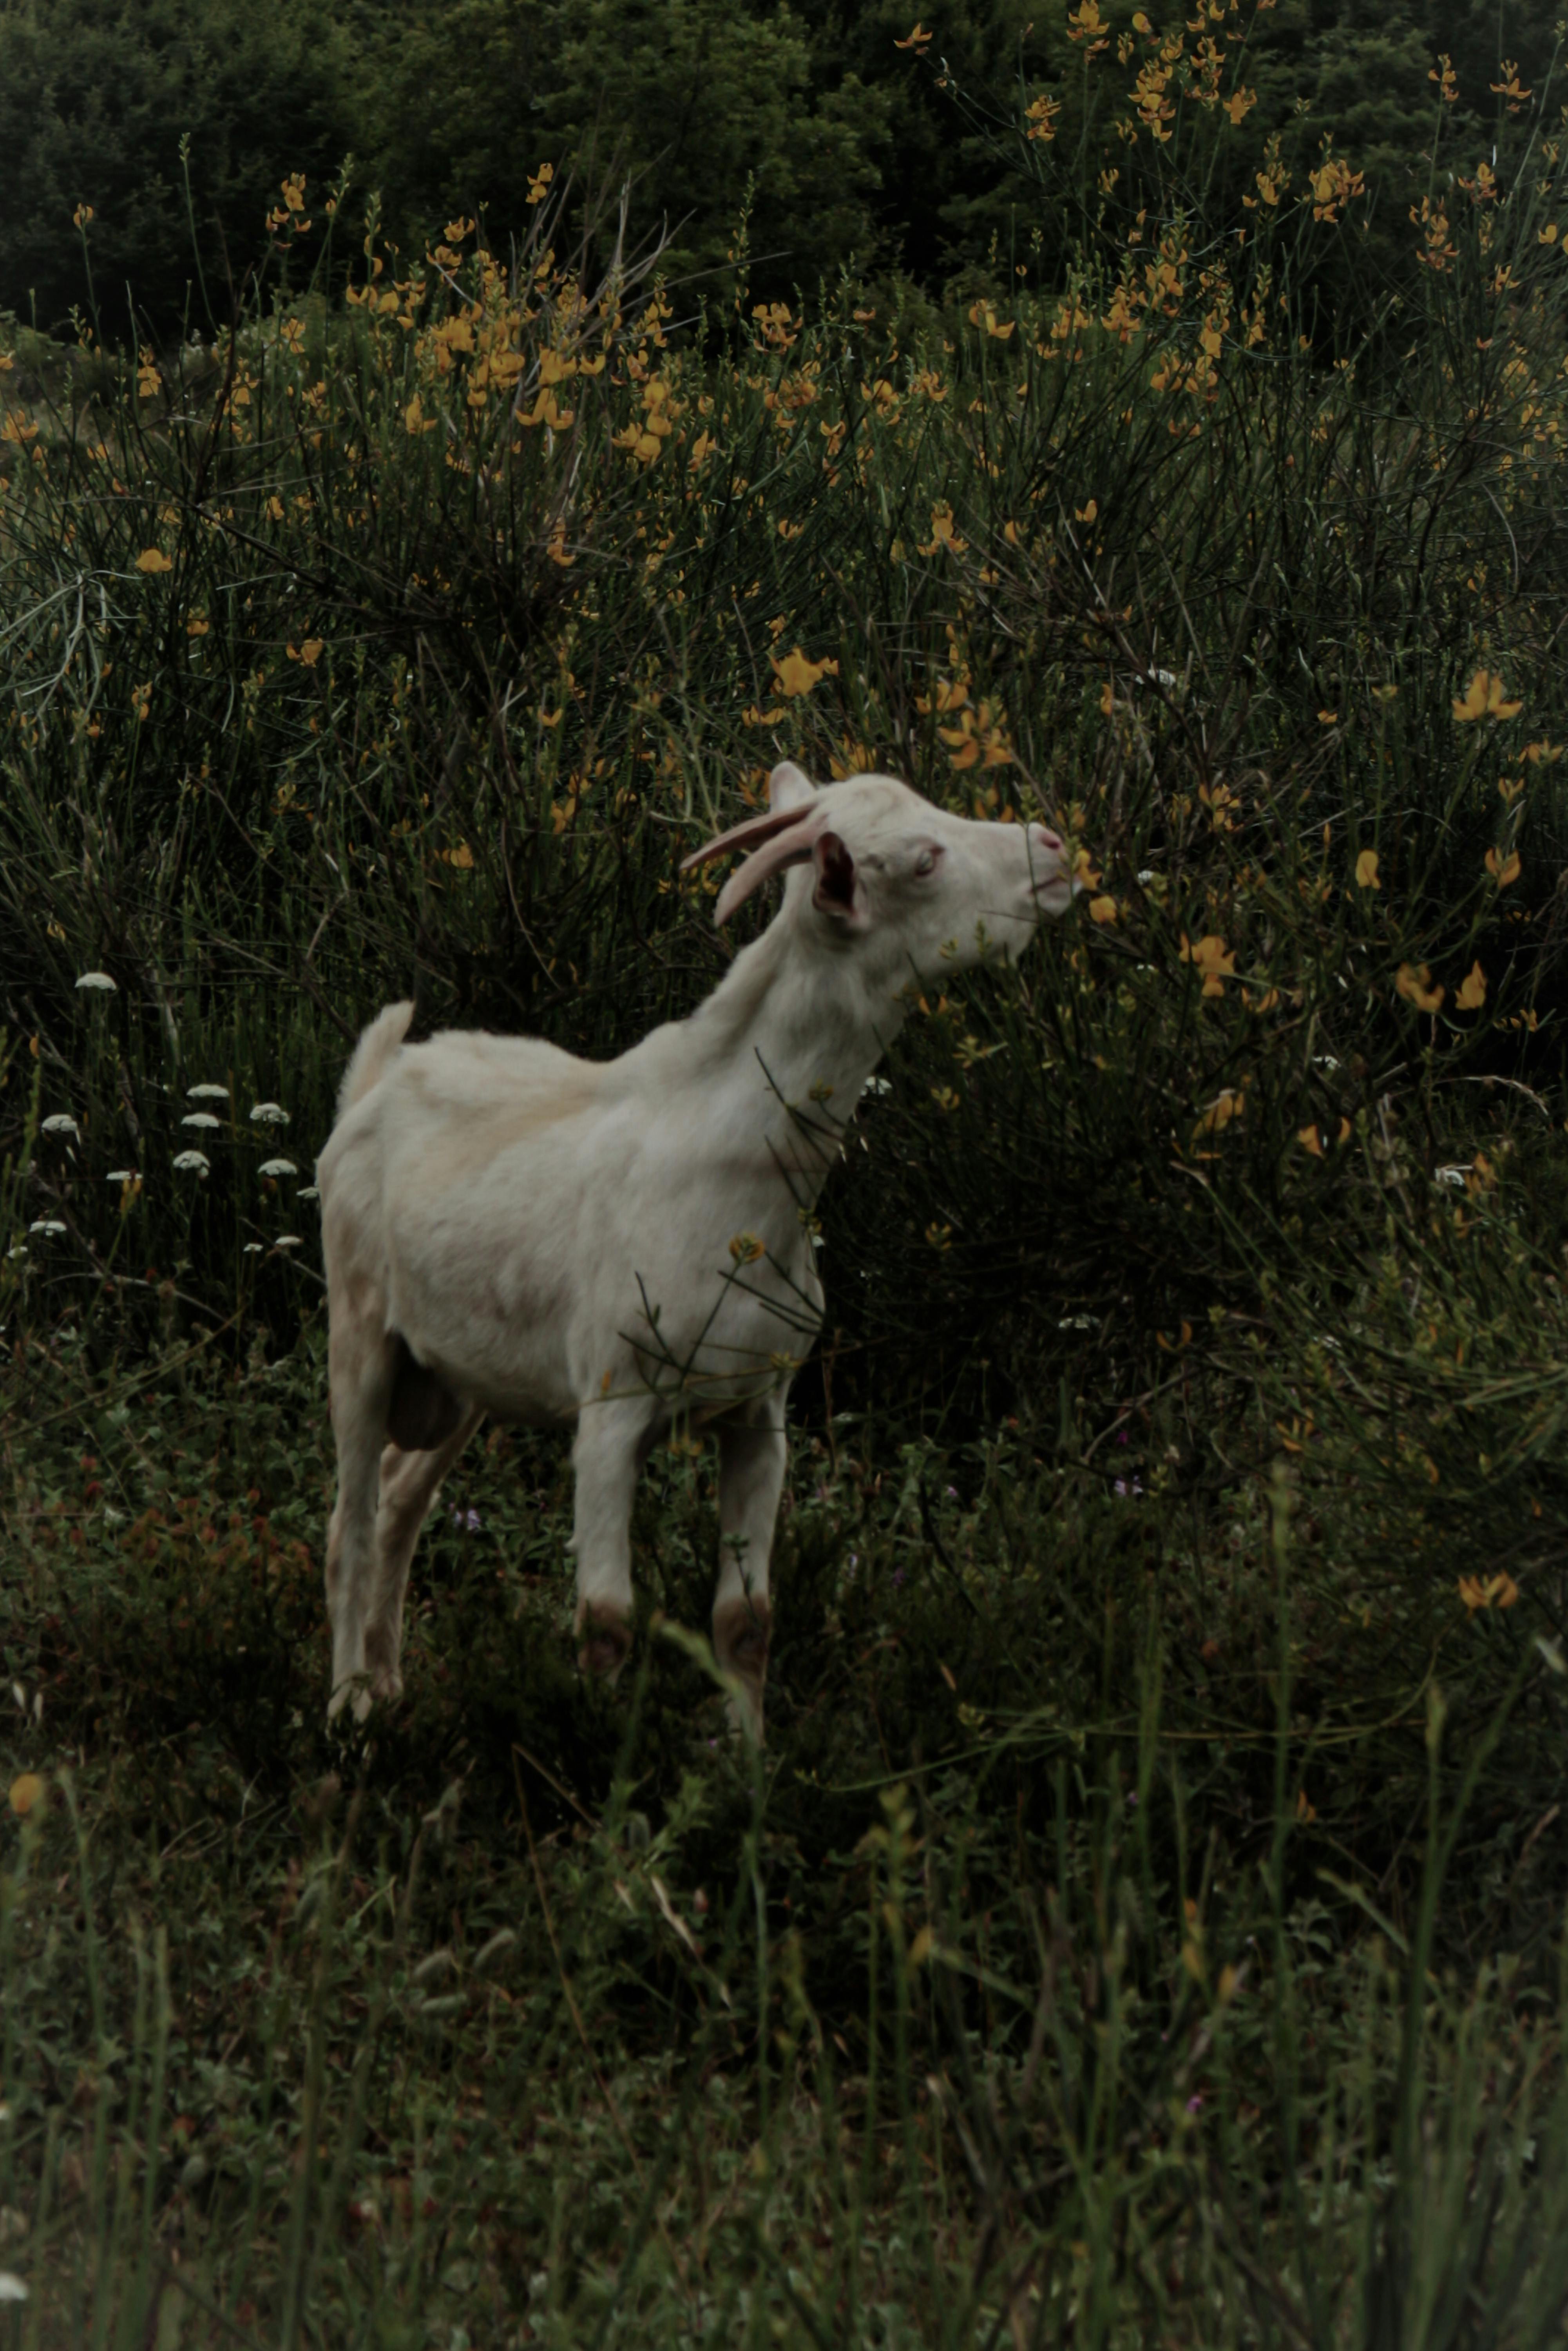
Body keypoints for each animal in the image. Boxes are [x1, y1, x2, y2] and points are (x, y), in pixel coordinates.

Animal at [316, 760, 1073, 1738]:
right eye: (923, 859)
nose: (1051, 849)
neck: (731, 1169)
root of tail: (376, 1083)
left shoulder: (761, 1410)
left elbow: (746, 1619)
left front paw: (745, 1759)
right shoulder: (611, 1406)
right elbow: (604, 1621)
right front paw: (603, 1750)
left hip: (460, 1375)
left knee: (404, 1498)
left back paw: (389, 1689)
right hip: (359, 1328)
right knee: (351, 1523)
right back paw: (347, 1714)